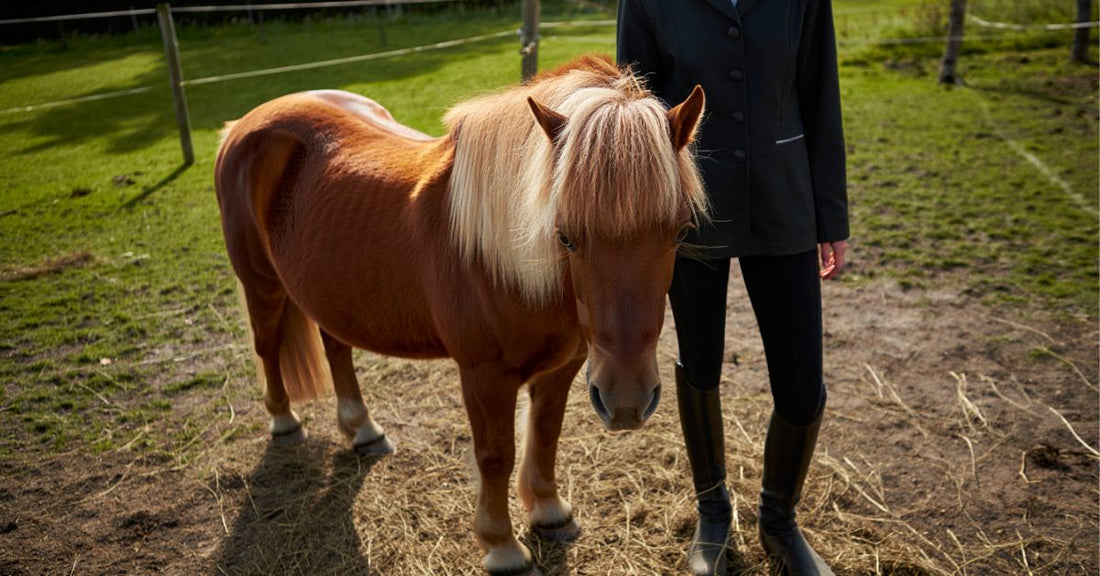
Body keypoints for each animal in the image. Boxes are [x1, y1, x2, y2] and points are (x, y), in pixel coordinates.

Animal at [214, 55, 706, 575]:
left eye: (680, 231)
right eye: (566, 236)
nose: (628, 401)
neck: (502, 261)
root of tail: (243, 125)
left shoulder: (566, 366)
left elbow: (545, 434)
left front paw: (549, 511)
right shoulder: (484, 375)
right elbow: (496, 455)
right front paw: (502, 545)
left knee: (337, 348)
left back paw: (362, 429)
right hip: (262, 285)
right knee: (268, 345)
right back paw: (285, 422)